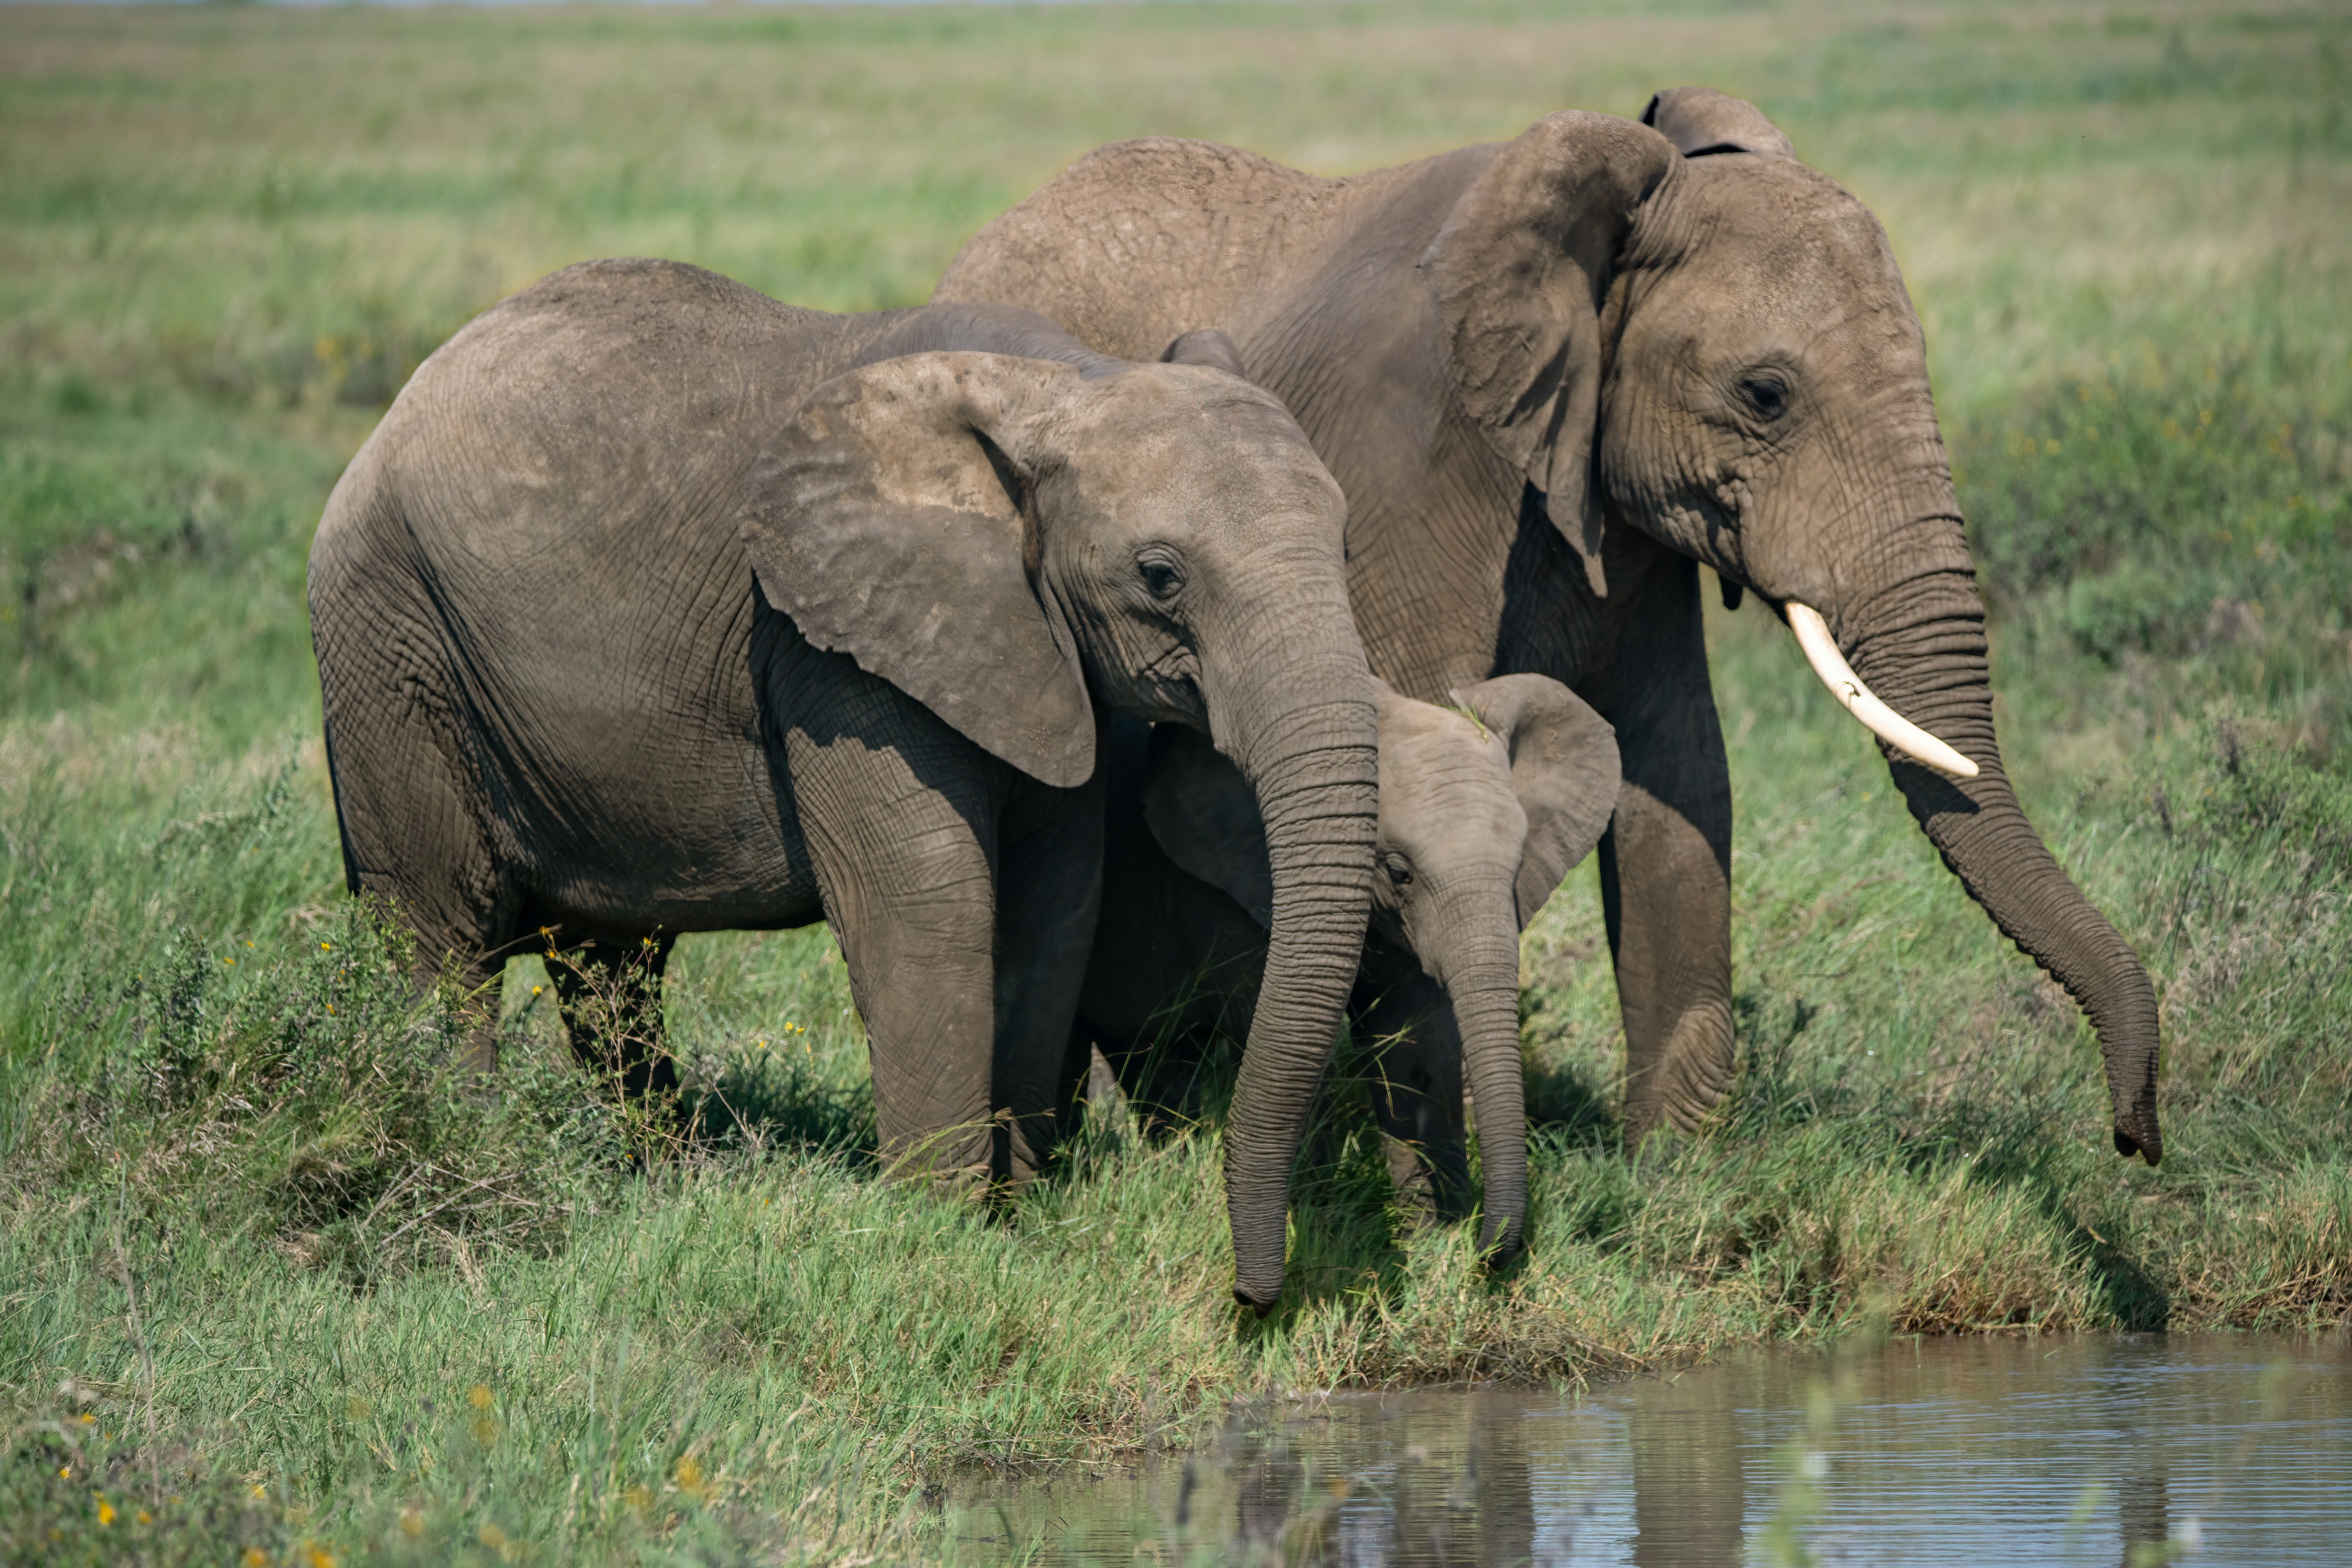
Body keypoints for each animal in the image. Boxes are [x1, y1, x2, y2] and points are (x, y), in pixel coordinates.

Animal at [307, 258, 1379, 1305]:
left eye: (1344, 544)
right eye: (1160, 576)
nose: (1252, 1299)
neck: (1061, 382)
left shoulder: (1039, 649)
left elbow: (1056, 904)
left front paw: (1022, 1211)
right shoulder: (834, 646)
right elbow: (930, 902)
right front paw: (946, 1237)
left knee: (607, 965)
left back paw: (665, 1187)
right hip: (394, 644)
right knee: (442, 936)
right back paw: (469, 1174)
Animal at [934, 87, 2163, 1163]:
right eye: (1765, 395)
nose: (2134, 1136)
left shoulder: (1618, 504)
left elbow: (1680, 770)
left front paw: (1675, 1180)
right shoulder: (1406, 462)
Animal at [1080, 673, 1618, 1260]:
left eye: (1518, 867)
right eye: (1400, 872)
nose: (1488, 1249)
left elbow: (1416, 1046)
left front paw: (1432, 1241)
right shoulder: (1234, 896)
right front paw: (1327, 1225)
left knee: (1158, 1063)